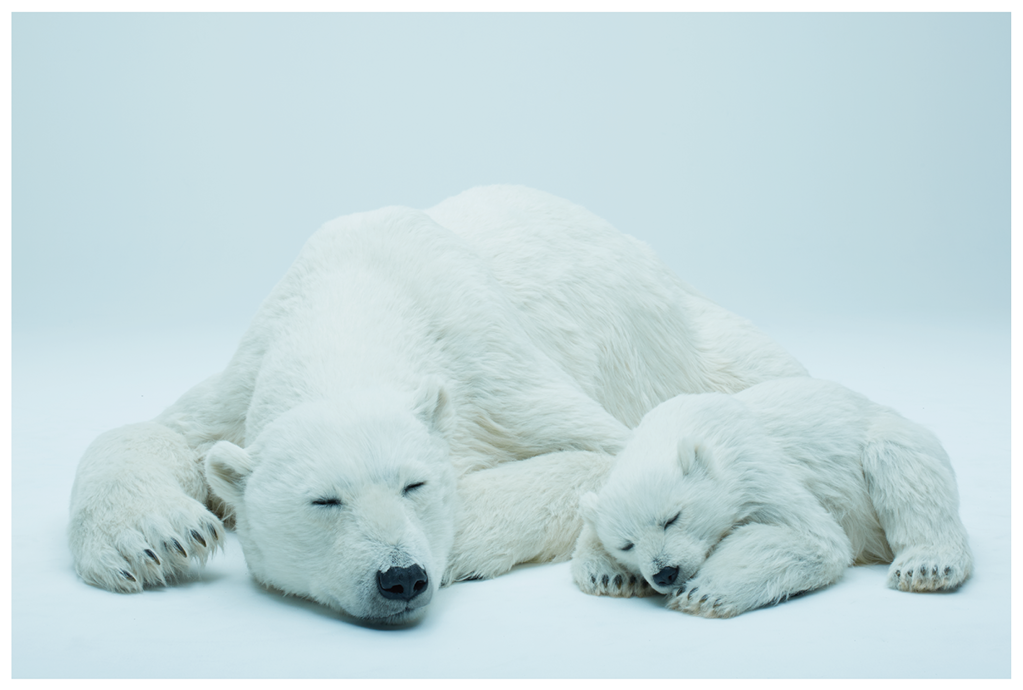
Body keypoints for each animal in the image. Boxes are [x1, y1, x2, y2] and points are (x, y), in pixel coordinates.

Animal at [68, 185, 807, 623]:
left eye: (414, 484)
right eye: (323, 501)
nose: (399, 578)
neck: (354, 300)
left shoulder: (491, 362)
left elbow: (602, 452)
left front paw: (460, 545)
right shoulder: (248, 368)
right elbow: (163, 433)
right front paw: (155, 537)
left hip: (679, 340)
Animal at [572, 376, 973, 618]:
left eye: (672, 518)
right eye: (626, 544)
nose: (665, 573)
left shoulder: (753, 465)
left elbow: (814, 539)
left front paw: (701, 593)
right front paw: (610, 576)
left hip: (891, 440)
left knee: (900, 467)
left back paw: (926, 567)